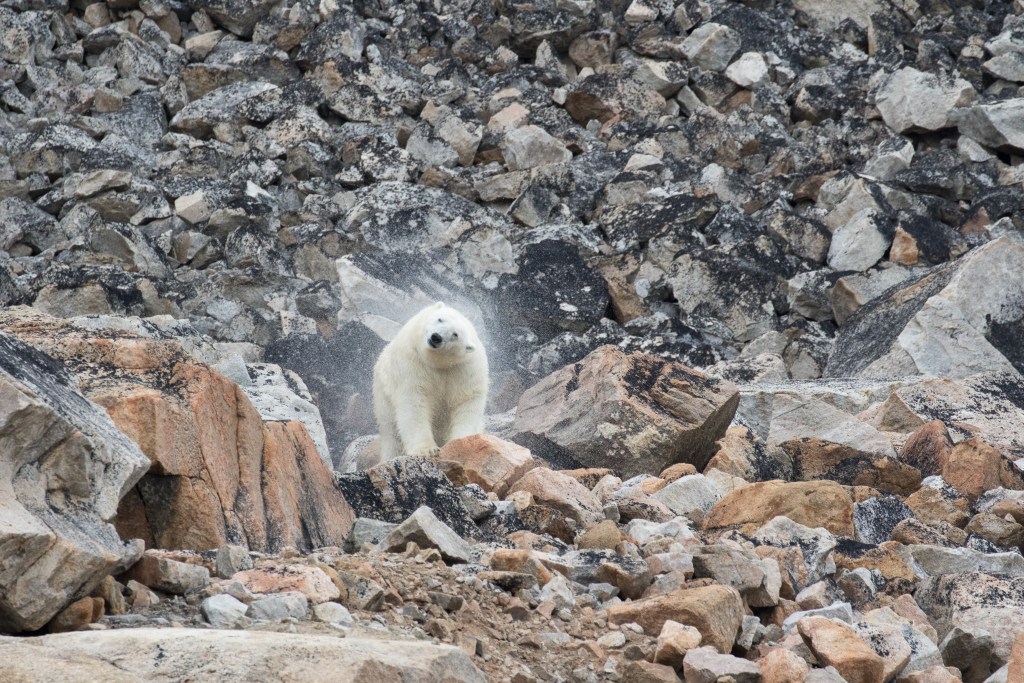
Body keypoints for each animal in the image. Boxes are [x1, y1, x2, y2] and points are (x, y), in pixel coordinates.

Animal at [372, 302, 488, 460]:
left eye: (455, 334)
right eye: (440, 319)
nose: (436, 337)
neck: (439, 364)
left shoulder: (466, 369)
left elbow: (466, 402)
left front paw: (462, 443)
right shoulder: (412, 363)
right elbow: (414, 402)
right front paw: (427, 450)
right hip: (383, 400)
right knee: (391, 433)